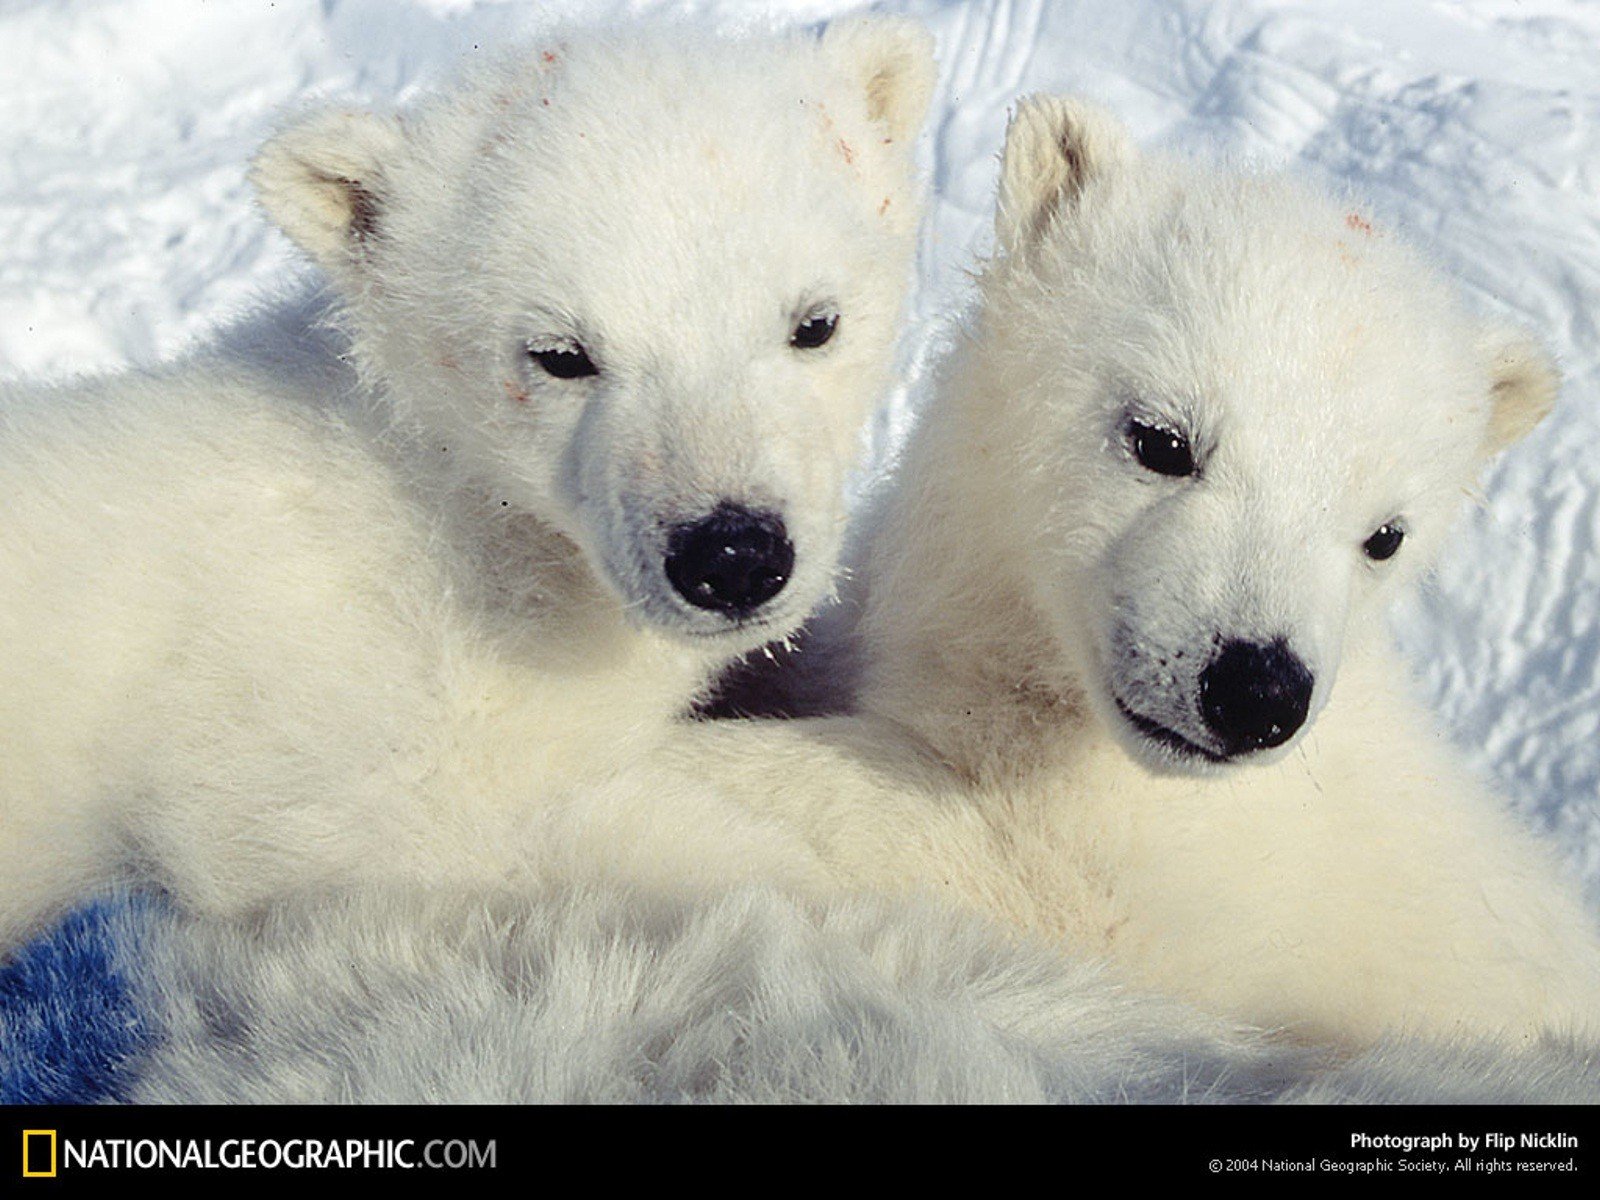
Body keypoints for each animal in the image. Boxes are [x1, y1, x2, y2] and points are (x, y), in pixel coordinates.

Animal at [0, 16, 935, 952]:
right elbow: (399, 833)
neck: (460, 519)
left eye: (816, 323)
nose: (733, 554)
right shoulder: (295, 712)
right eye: (560, 354)